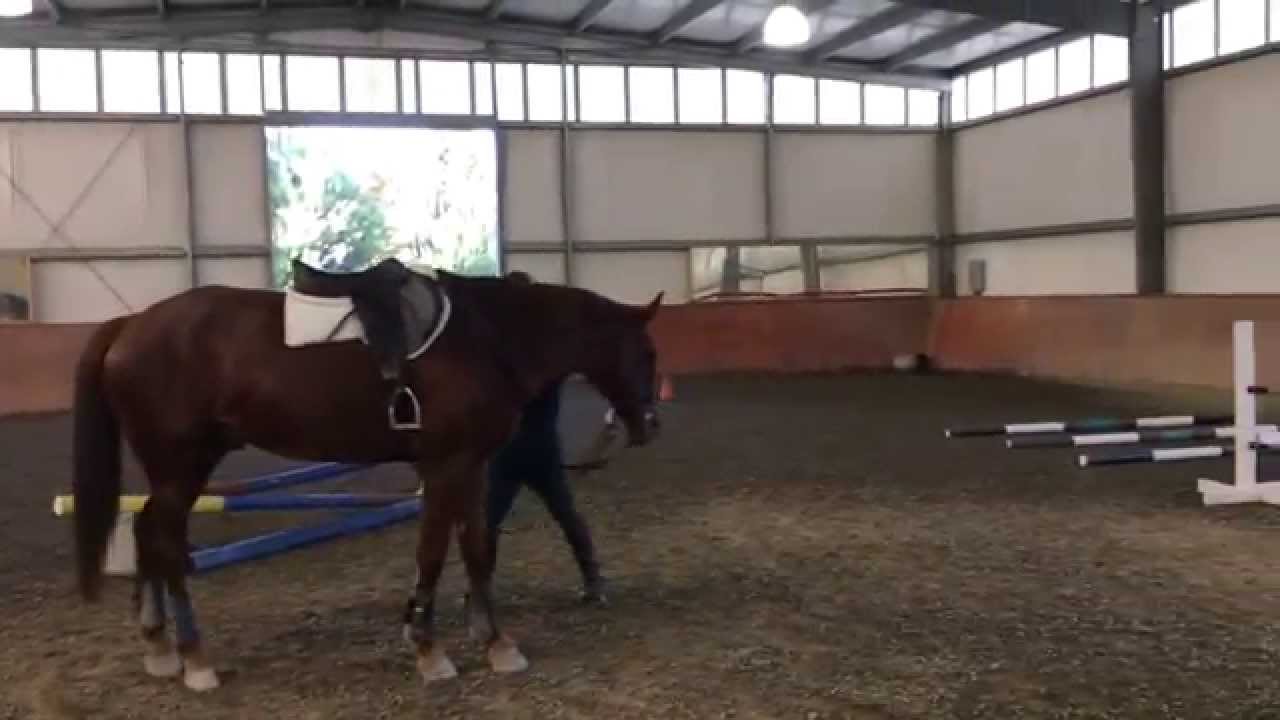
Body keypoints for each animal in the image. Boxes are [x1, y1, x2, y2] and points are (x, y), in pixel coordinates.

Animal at [70, 264, 663, 691]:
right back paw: (196, 662)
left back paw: (159, 649)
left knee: (146, 531)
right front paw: (429, 651)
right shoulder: (445, 465)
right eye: (646, 352)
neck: (488, 338)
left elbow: (476, 550)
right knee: (167, 543)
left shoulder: (472, 466)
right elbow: (433, 552)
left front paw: (496, 644)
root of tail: (130, 325)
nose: (649, 424)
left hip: (179, 468)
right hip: (181, 467)